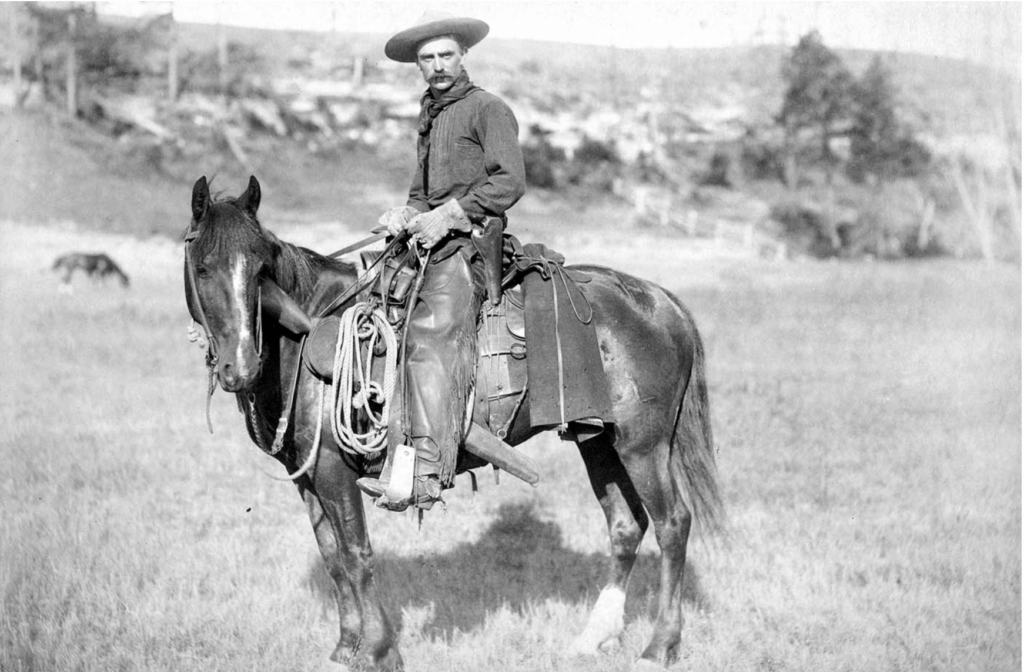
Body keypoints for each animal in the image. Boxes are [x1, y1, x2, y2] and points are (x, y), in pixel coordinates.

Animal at [183, 175, 723, 670]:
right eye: (203, 268)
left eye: (259, 269)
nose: (240, 367)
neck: (306, 333)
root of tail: (660, 301)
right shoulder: (308, 477)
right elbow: (334, 559)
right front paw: (344, 648)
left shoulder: (335, 472)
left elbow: (357, 556)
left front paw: (377, 651)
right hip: (598, 441)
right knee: (626, 526)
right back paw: (594, 637)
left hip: (642, 445)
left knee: (672, 524)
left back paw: (660, 646)